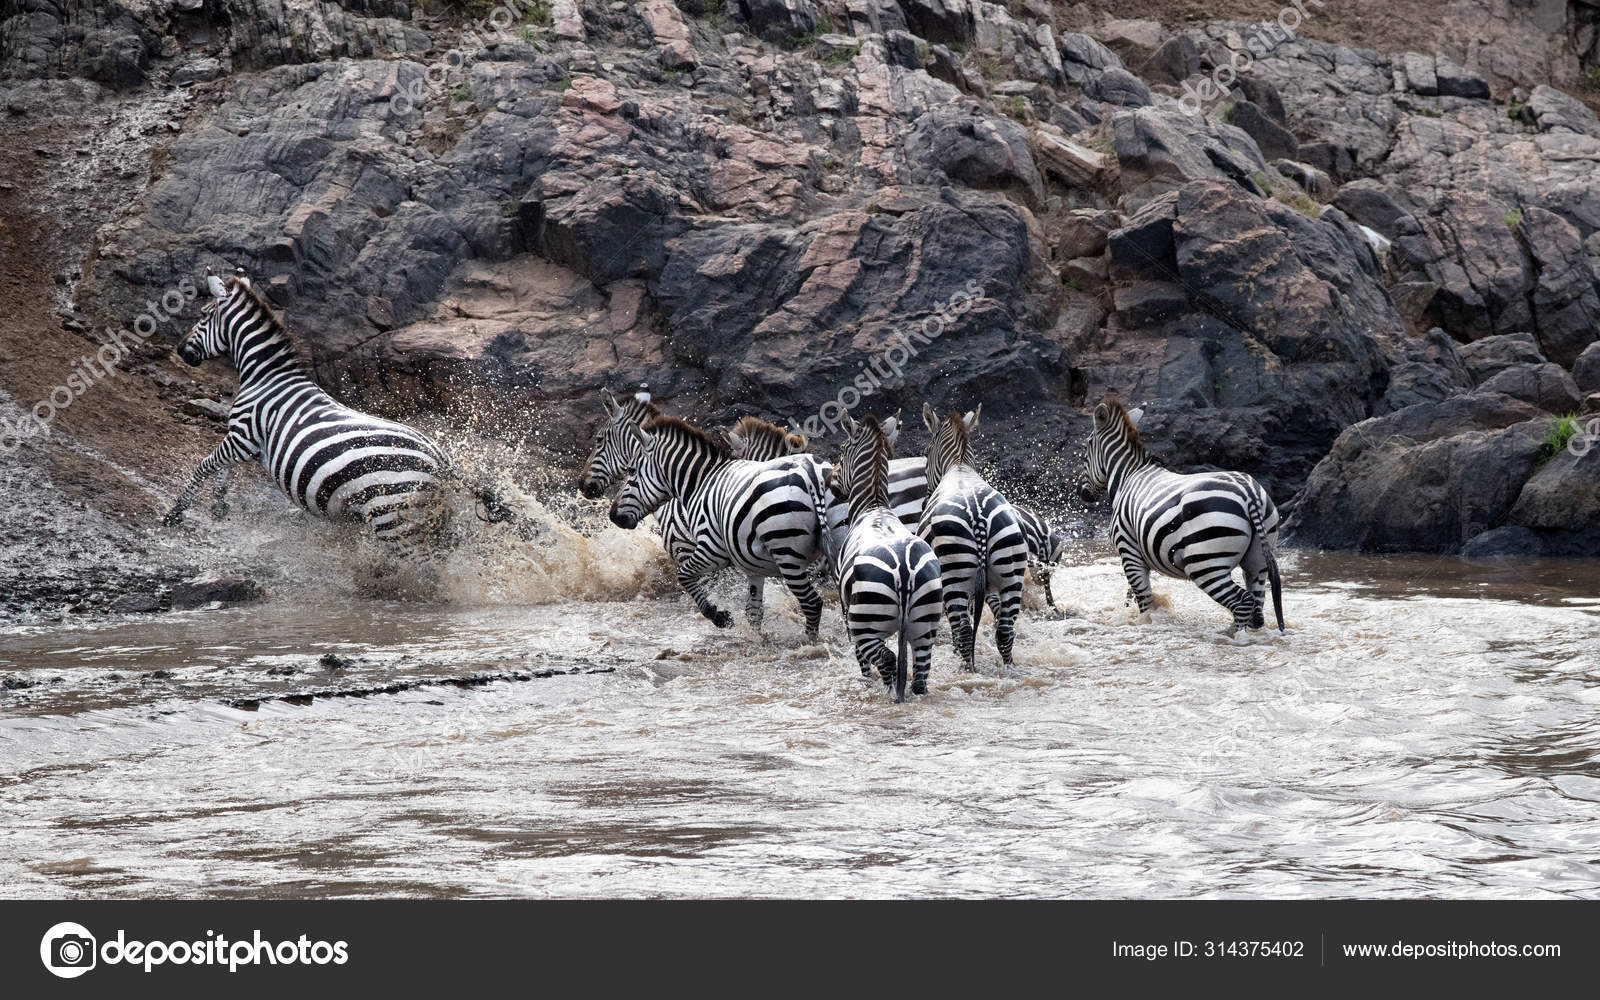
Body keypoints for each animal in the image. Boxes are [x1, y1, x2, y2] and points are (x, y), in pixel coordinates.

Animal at [162, 270, 512, 553]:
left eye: (204, 315)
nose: (181, 351)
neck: (266, 376)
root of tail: (442, 462)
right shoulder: (246, 443)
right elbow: (224, 470)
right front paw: (219, 505)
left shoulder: (243, 434)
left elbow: (205, 465)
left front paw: (175, 513)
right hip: (426, 518)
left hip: (392, 514)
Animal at [610, 416, 830, 639]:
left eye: (631, 470)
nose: (613, 516)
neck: (700, 483)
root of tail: (811, 475)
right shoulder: (753, 566)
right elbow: (753, 611)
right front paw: (755, 640)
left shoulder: (711, 549)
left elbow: (684, 576)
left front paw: (719, 616)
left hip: (787, 555)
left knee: (812, 603)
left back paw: (809, 643)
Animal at [828, 413, 943, 701]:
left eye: (842, 451)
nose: (829, 478)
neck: (875, 506)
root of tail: (904, 570)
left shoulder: (847, 612)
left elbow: (863, 665)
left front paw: (866, 683)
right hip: (925, 625)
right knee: (920, 675)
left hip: (865, 624)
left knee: (887, 659)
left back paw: (891, 695)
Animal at [917, 404, 1029, 672]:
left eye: (925, 454)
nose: (924, 502)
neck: (958, 465)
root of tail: (979, 519)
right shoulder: (988, 583)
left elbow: (958, 624)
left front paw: (956, 652)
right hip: (1012, 572)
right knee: (1005, 630)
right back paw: (1009, 669)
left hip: (953, 575)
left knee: (965, 630)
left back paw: (966, 668)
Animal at [1081, 397, 1284, 634]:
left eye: (1086, 447)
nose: (1082, 494)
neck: (1127, 477)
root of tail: (1248, 492)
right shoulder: (1136, 556)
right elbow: (1132, 594)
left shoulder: (1128, 550)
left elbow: (1144, 600)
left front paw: (1145, 624)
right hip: (1258, 560)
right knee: (1256, 610)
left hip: (1205, 564)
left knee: (1242, 601)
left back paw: (1232, 635)